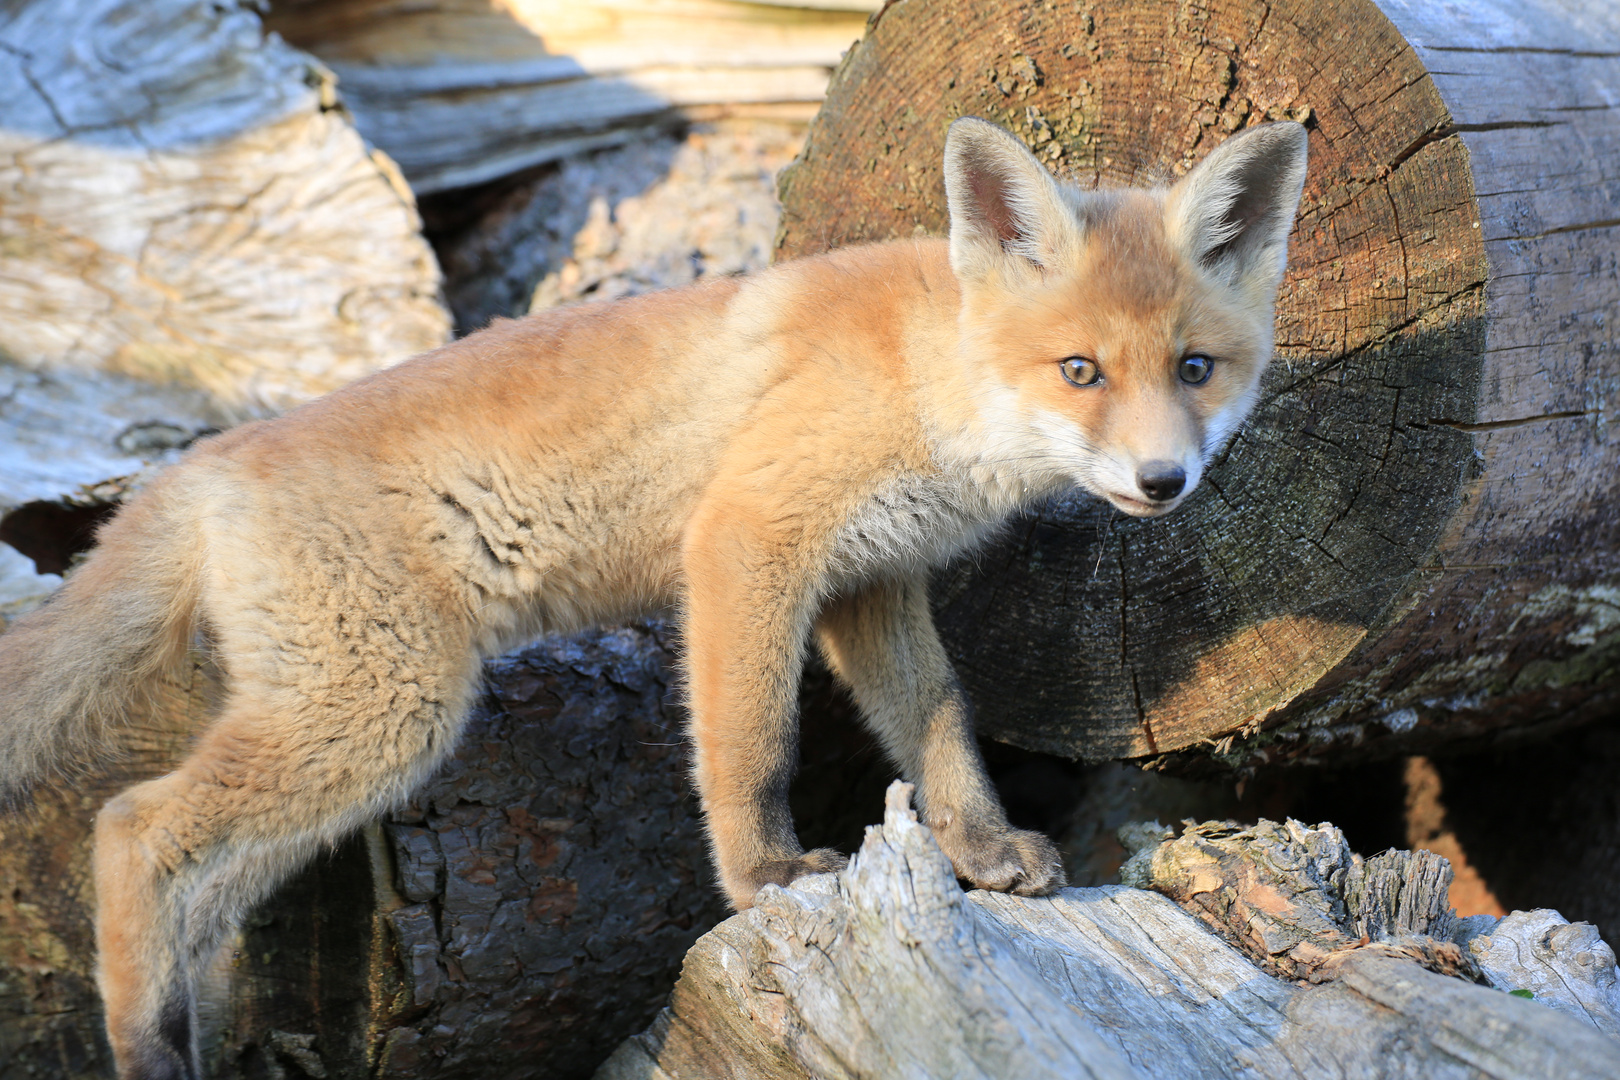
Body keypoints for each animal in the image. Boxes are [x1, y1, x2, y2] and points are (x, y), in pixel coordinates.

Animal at [0, 116, 1306, 1079]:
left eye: (1195, 368)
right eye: (1080, 370)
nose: (1163, 481)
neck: (927, 382)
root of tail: (195, 464)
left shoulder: (872, 583)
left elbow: (941, 731)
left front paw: (982, 854)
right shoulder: (746, 544)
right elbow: (750, 743)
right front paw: (763, 880)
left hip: (329, 744)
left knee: (191, 888)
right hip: (383, 717)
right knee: (128, 831)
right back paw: (142, 1047)